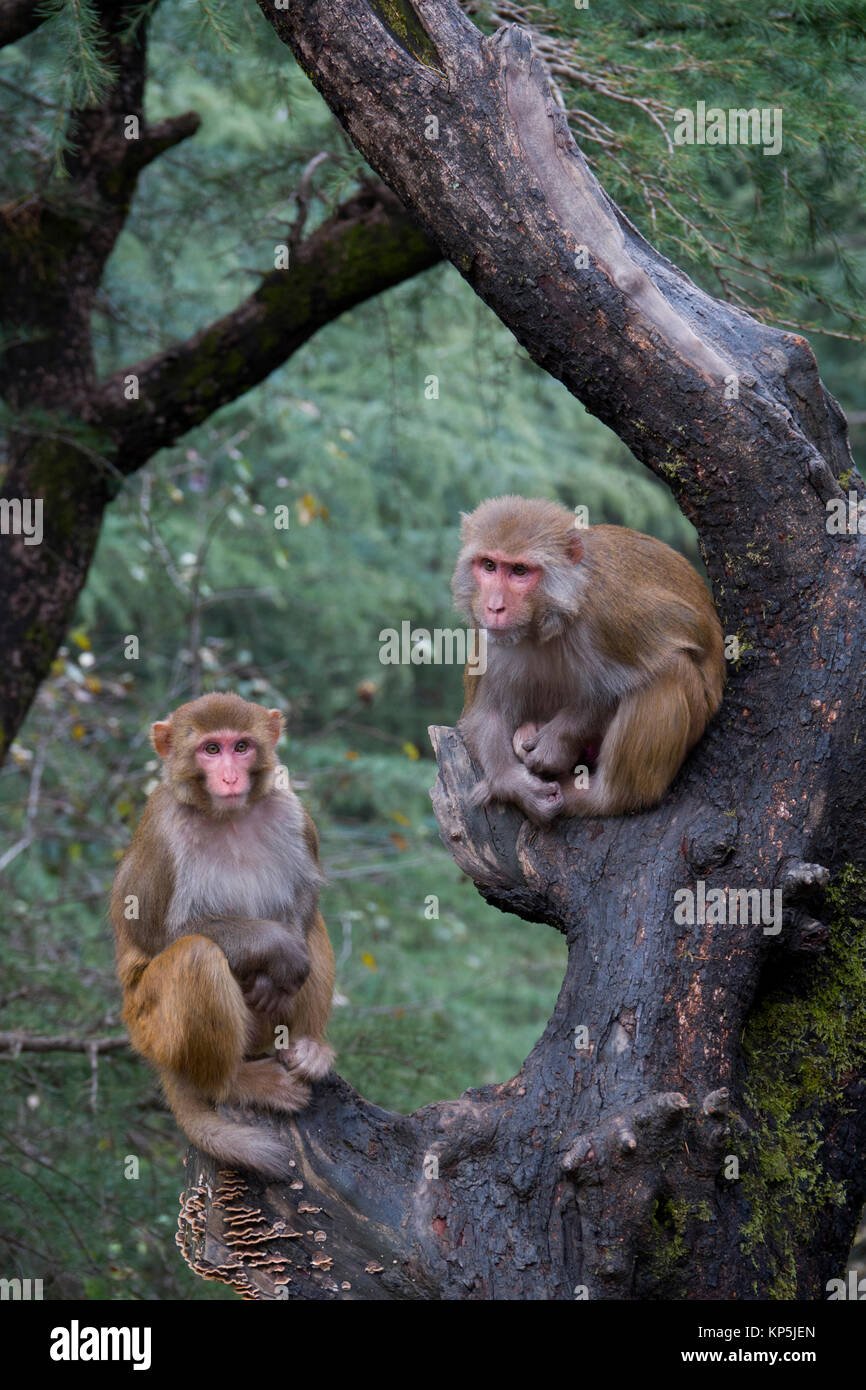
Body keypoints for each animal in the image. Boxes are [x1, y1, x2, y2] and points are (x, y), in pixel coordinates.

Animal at [110, 692, 335, 1179]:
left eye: (242, 747)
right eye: (211, 750)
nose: (230, 776)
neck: (229, 815)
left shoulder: (292, 810)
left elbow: (304, 902)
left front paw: (280, 971)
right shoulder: (166, 833)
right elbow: (166, 933)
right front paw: (278, 952)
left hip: (263, 1032)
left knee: (314, 929)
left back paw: (309, 1048)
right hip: (150, 1028)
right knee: (196, 954)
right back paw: (235, 1083)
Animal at [451, 496, 725, 824]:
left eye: (519, 571)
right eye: (489, 566)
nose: (494, 607)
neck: (552, 617)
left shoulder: (613, 618)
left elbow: (658, 661)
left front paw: (556, 742)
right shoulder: (488, 637)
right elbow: (486, 712)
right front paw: (514, 784)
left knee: (671, 671)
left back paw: (604, 796)